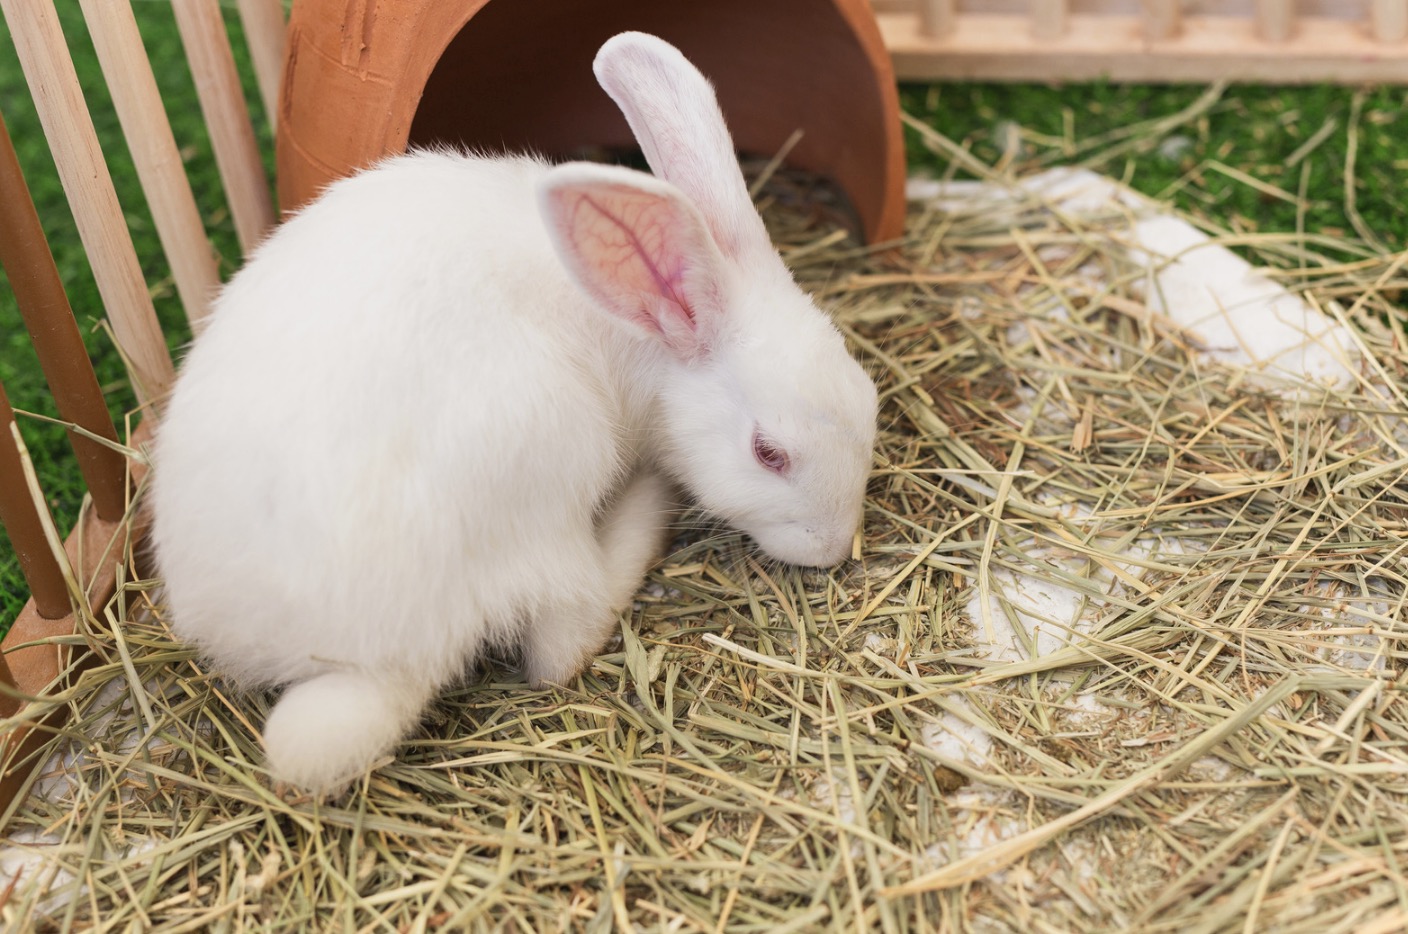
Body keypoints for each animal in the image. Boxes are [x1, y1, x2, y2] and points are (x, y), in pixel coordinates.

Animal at [150, 31, 879, 795]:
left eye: (870, 397)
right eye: (769, 453)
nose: (833, 549)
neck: (645, 341)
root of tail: (349, 655)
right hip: (552, 463)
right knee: (562, 642)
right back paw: (647, 507)